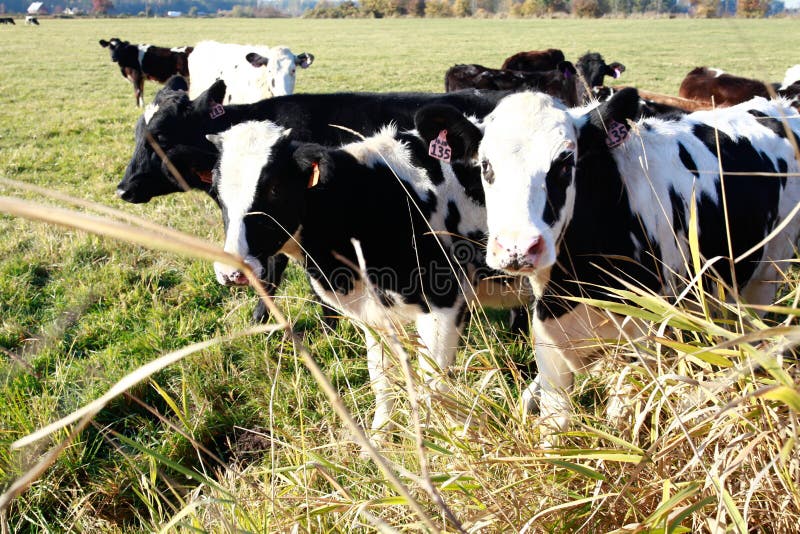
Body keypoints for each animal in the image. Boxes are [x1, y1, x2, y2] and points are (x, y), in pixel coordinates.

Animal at [208, 119, 532, 445]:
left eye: (274, 188)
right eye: (217, 194)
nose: (230, 271)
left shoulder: (445, 302)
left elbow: (435, 386)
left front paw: (465, 443)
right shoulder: (373, 315)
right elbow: (381, 379)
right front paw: (378, 438)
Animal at [416, 88, 800, 438]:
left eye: (565, 164)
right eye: (486, 166)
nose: (517, 248)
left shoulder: (641, 341)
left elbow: (623, 425)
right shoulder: (550, 341)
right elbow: (555, 426)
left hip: (768, 272)